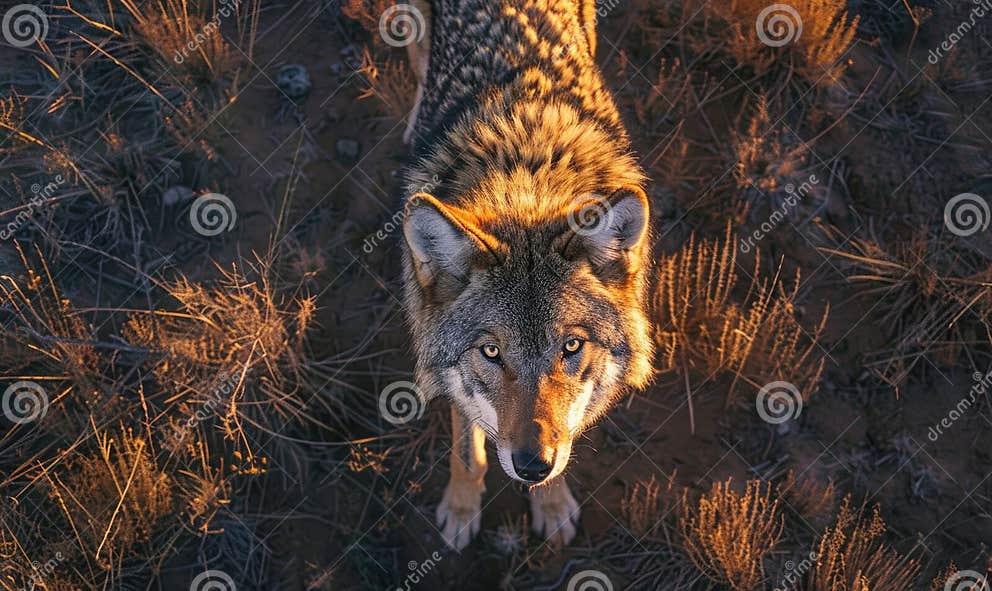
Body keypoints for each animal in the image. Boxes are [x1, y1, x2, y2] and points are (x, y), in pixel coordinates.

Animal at [399, 0, 654, 551]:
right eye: (491, 352)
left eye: (571, 346)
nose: (533, 465)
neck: (529, 182)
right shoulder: (458, 384)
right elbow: (467, 454)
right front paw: (461, 510)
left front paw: (552, 506)